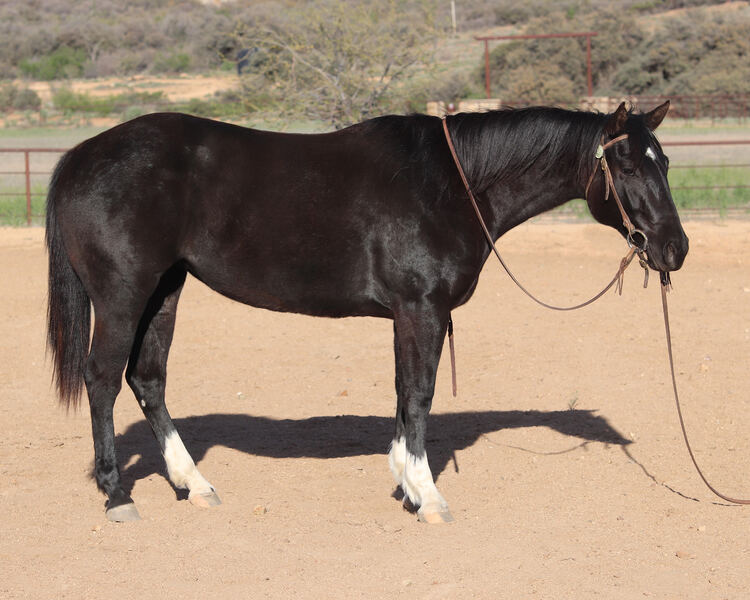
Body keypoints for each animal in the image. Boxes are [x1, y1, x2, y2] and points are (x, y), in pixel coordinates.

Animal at [46, 101, 688, 523]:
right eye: (629, 166)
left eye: (665, 163)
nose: (674, 249)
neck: (453, 183)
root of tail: (81, 156)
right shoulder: (422, 309)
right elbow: (421, 395)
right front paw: (429, 497)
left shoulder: (408, 315)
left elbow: (404, 393)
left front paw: (406, 485)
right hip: (125, 294)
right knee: (103, 380)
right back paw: (118, 495)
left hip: (166, 290)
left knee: (147, 380)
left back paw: (194, 485)